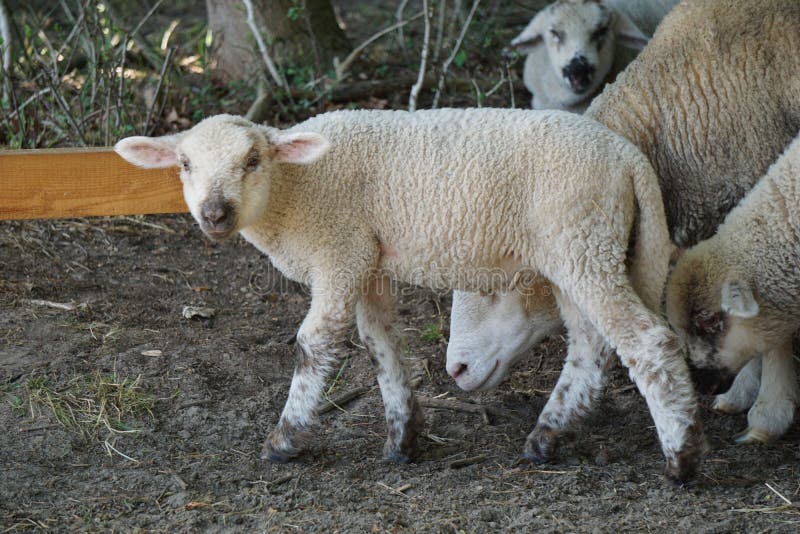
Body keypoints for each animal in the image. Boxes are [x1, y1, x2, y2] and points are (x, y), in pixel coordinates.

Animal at [115, 108, 704, 482]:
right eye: (184, 165)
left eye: (253, 160)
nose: (214, 214)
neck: (294, 190)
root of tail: (628, 159)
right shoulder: (366, 258)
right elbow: (380, 345)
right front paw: (403, 439)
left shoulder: (338, 249)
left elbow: (315, 345)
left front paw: (284, 441)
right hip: (578, 251)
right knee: (590, 346)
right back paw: (546, 438)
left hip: (582, 240)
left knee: (646, 341)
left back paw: (680, 460)